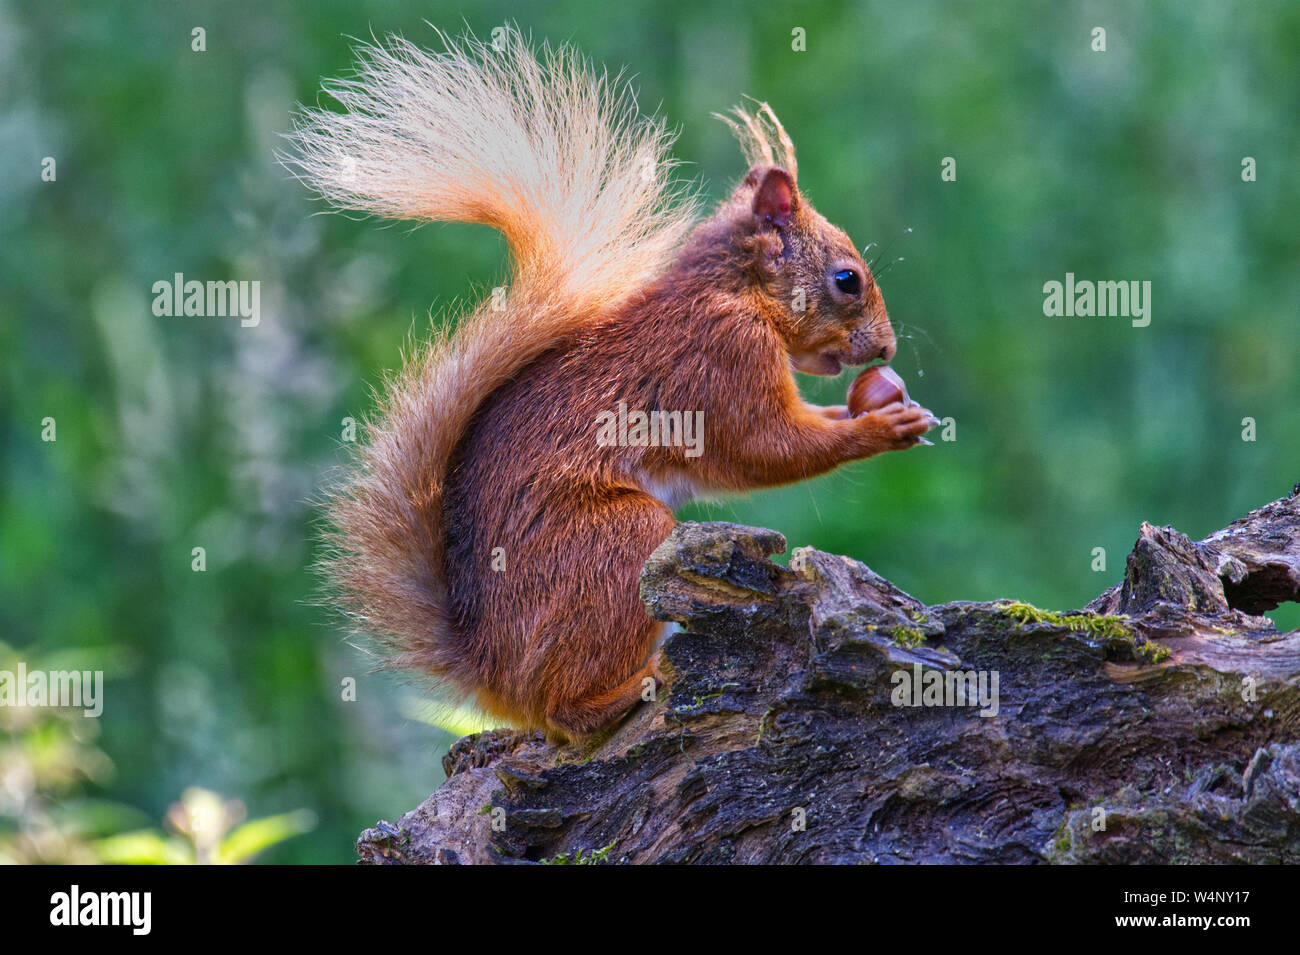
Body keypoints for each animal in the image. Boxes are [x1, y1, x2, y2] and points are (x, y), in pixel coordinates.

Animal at [286, 27, 935, 741]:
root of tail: (496, 678)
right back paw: (635, 686)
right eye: (848, 280)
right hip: (618, 542)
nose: (887, 349)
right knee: (566, 713)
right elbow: (765, 449)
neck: (734, 293)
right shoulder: (723, 360)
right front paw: (883, 426)